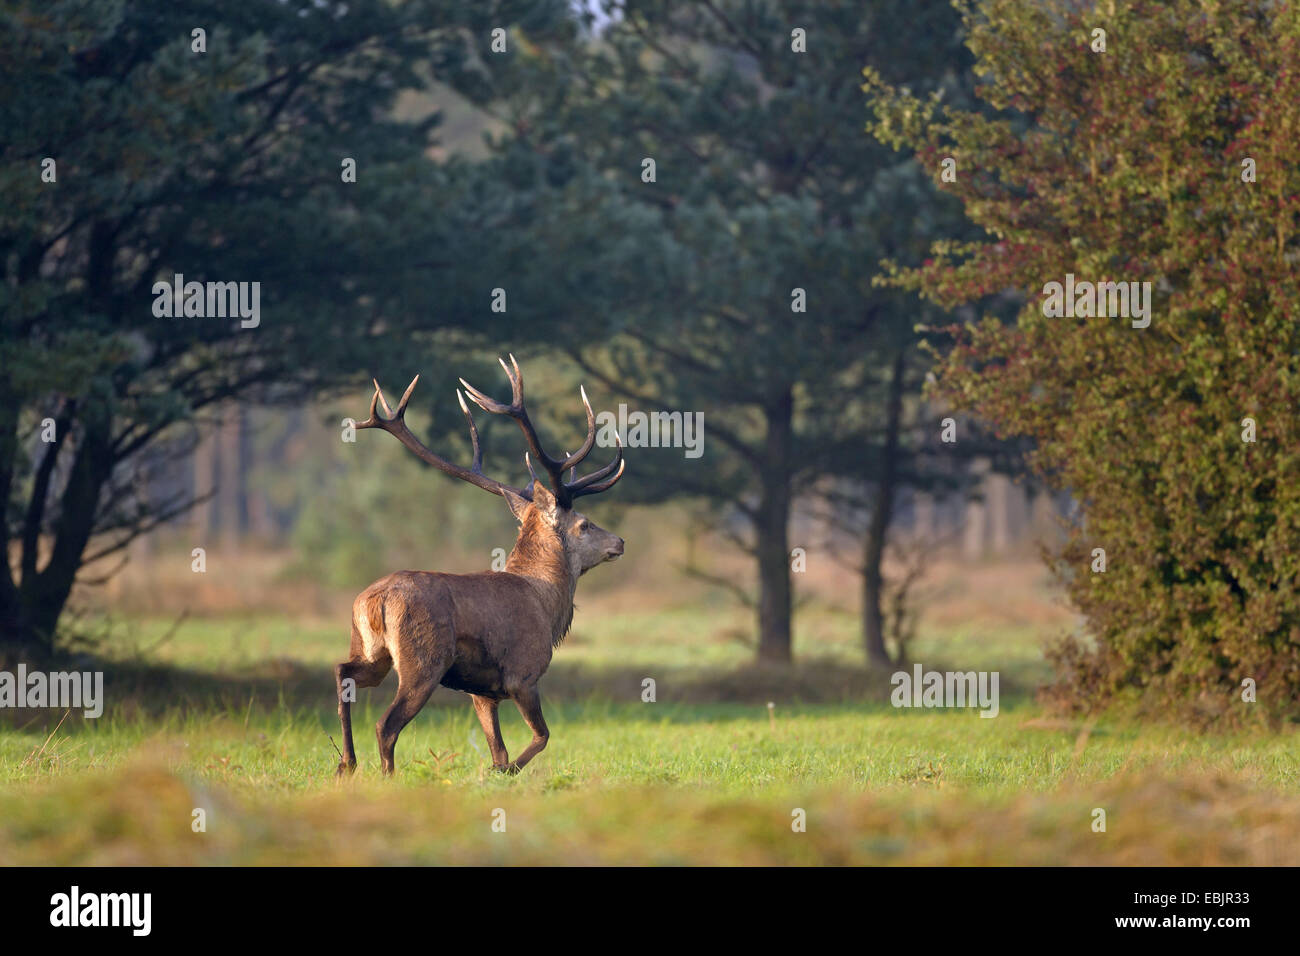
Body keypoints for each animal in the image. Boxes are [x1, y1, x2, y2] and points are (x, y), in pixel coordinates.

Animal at [335, 355, 625, 777]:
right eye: (585, 524)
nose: (619, 542)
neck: (547, 603)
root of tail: (373, 601)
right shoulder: (522, 673)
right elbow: (540, 738)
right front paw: (502, 772)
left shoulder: (483, 692)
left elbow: (498, 748)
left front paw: (496, 771)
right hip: (423, 662)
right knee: (385, 724)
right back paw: (386, 777)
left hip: (372, 652)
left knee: (344, 672)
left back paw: (346, 764)